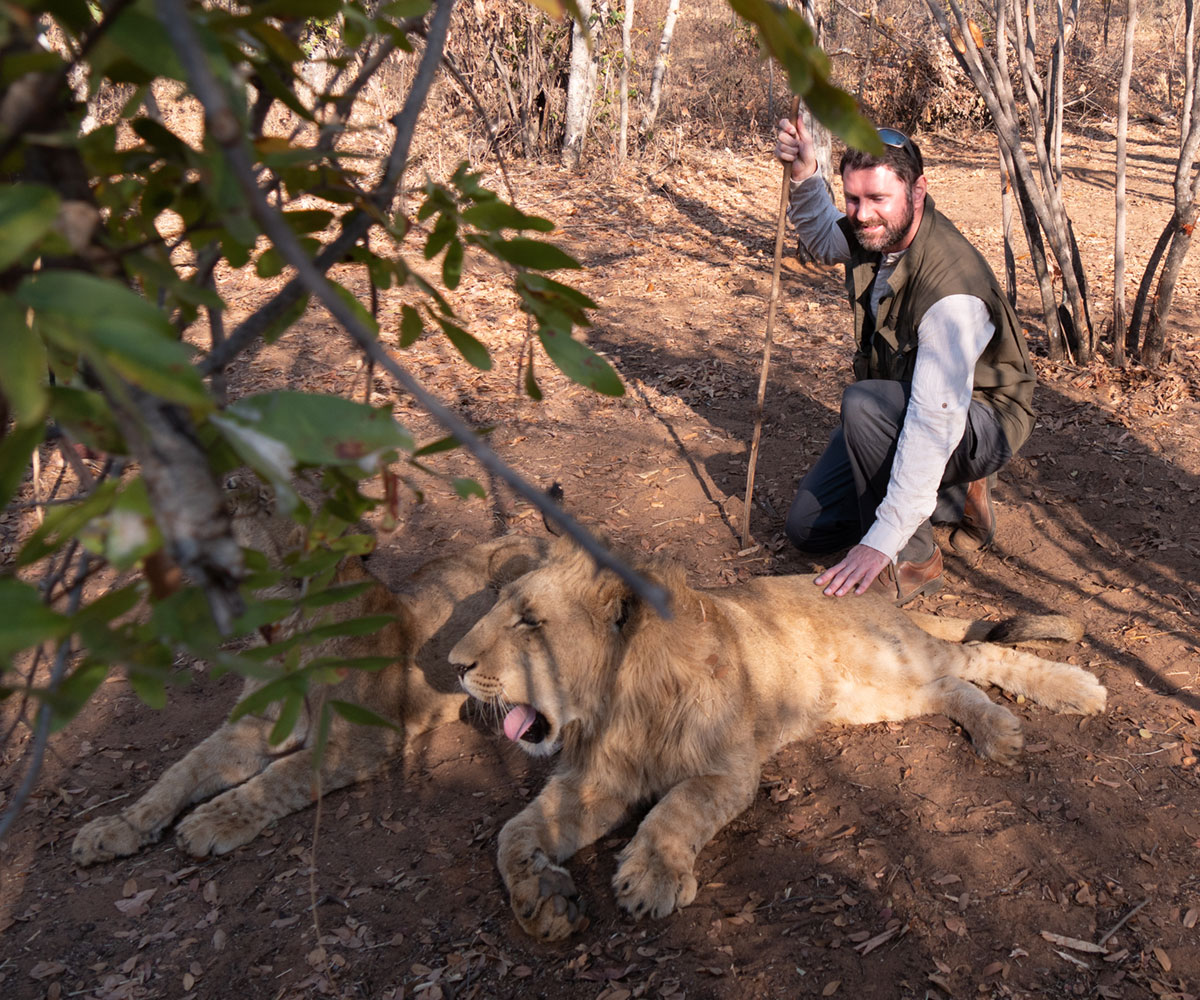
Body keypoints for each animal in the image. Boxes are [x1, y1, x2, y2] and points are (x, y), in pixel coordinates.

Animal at [71, 506, 545, 866]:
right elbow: (181, 770)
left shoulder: (361, 741)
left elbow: (280, 778)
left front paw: (211, 822)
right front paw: (115, 827)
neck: (285, 634)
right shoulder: (257, 723)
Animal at [449, 538, 1107, 940]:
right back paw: (996, 724)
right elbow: (514, 833)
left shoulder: (730, 768)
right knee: (951, 687)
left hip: (899, 659)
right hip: (873, 697)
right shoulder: (596, 780)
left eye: (529, 622)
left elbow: (676, 808)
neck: (616, 708)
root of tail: (875, 596)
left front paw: (651, 878)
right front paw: (543, 900)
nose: (454, 665)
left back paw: (1070, 694)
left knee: (983, 655)